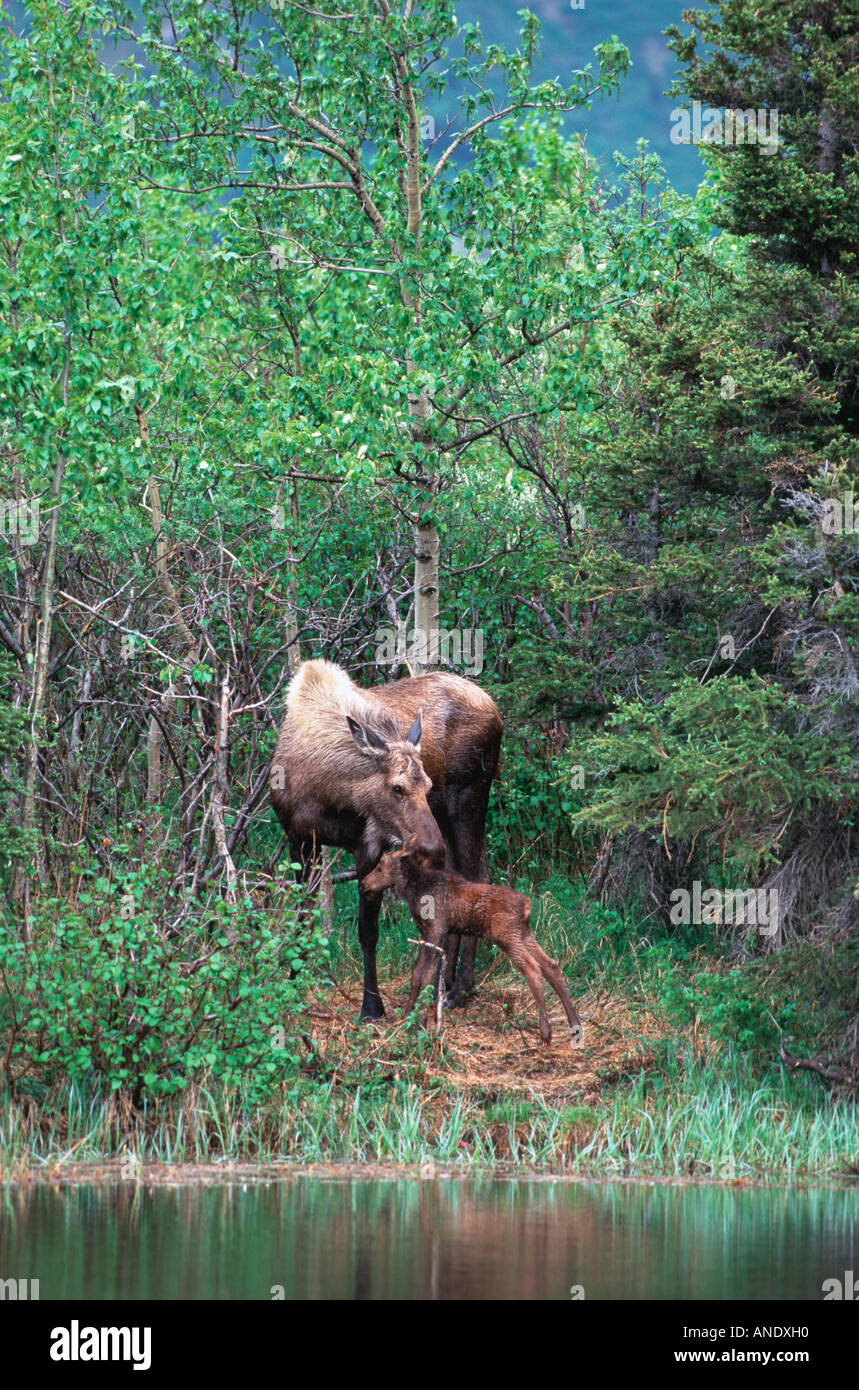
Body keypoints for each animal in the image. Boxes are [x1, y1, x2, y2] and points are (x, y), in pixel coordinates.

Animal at [269, 659, 502, 1020]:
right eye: (397, 787)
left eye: (427, 785)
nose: (431, 846)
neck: (324, 793)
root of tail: (495, 709)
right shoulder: (299, 838)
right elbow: (303, 920)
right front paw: (294, 987)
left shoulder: (369, 843)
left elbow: (368, 931)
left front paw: (371, 1006)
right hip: (449, 816)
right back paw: (443, 983)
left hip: (467, 801)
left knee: (479, 877)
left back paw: (460, 988)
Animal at [361, 849, 582, 1046]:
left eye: (379, 867)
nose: (363, 884)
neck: (413, 891)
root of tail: (527, 905)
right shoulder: (425, 934)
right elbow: (416, 974)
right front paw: (407, 1015)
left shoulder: (436, 930)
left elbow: (426, 976)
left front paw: (420, 1023)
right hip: (524, 933)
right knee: (550, 965)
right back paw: (575, 1025)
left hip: (506, 935)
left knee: (532, 968)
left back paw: (546, 1033)